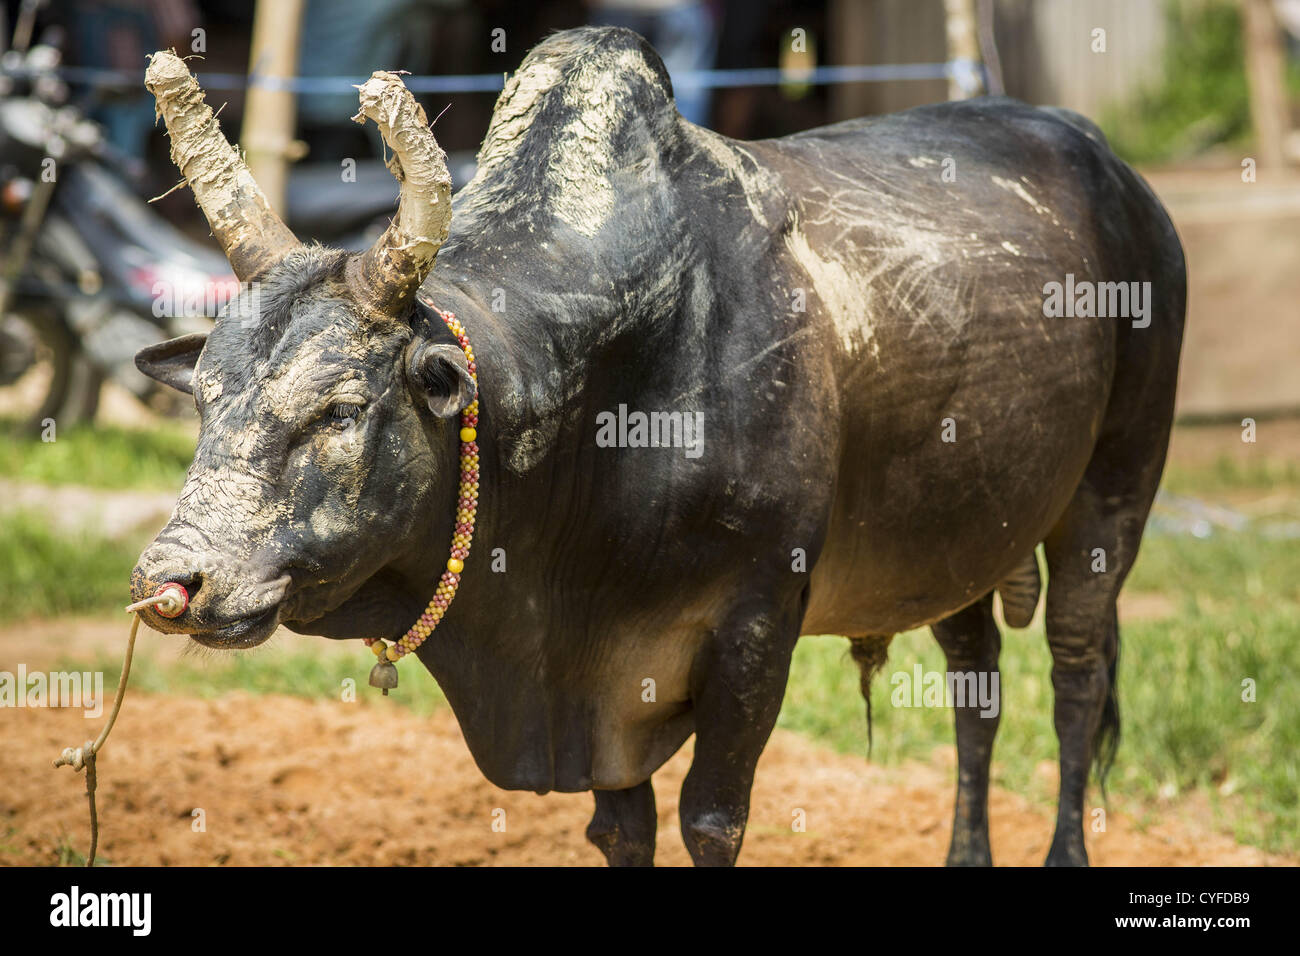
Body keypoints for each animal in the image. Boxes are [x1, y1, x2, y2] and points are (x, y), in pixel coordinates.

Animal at [131, 27, 1185, 866]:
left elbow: (712, 820)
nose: (175, 576)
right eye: (208, 398)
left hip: (1112, 497)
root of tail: (1114, 168)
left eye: (342, 408)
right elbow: (622, 828)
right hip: (959, 537)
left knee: (1076, 677)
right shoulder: (602, 696)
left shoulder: (758, 622)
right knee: (977, 687)